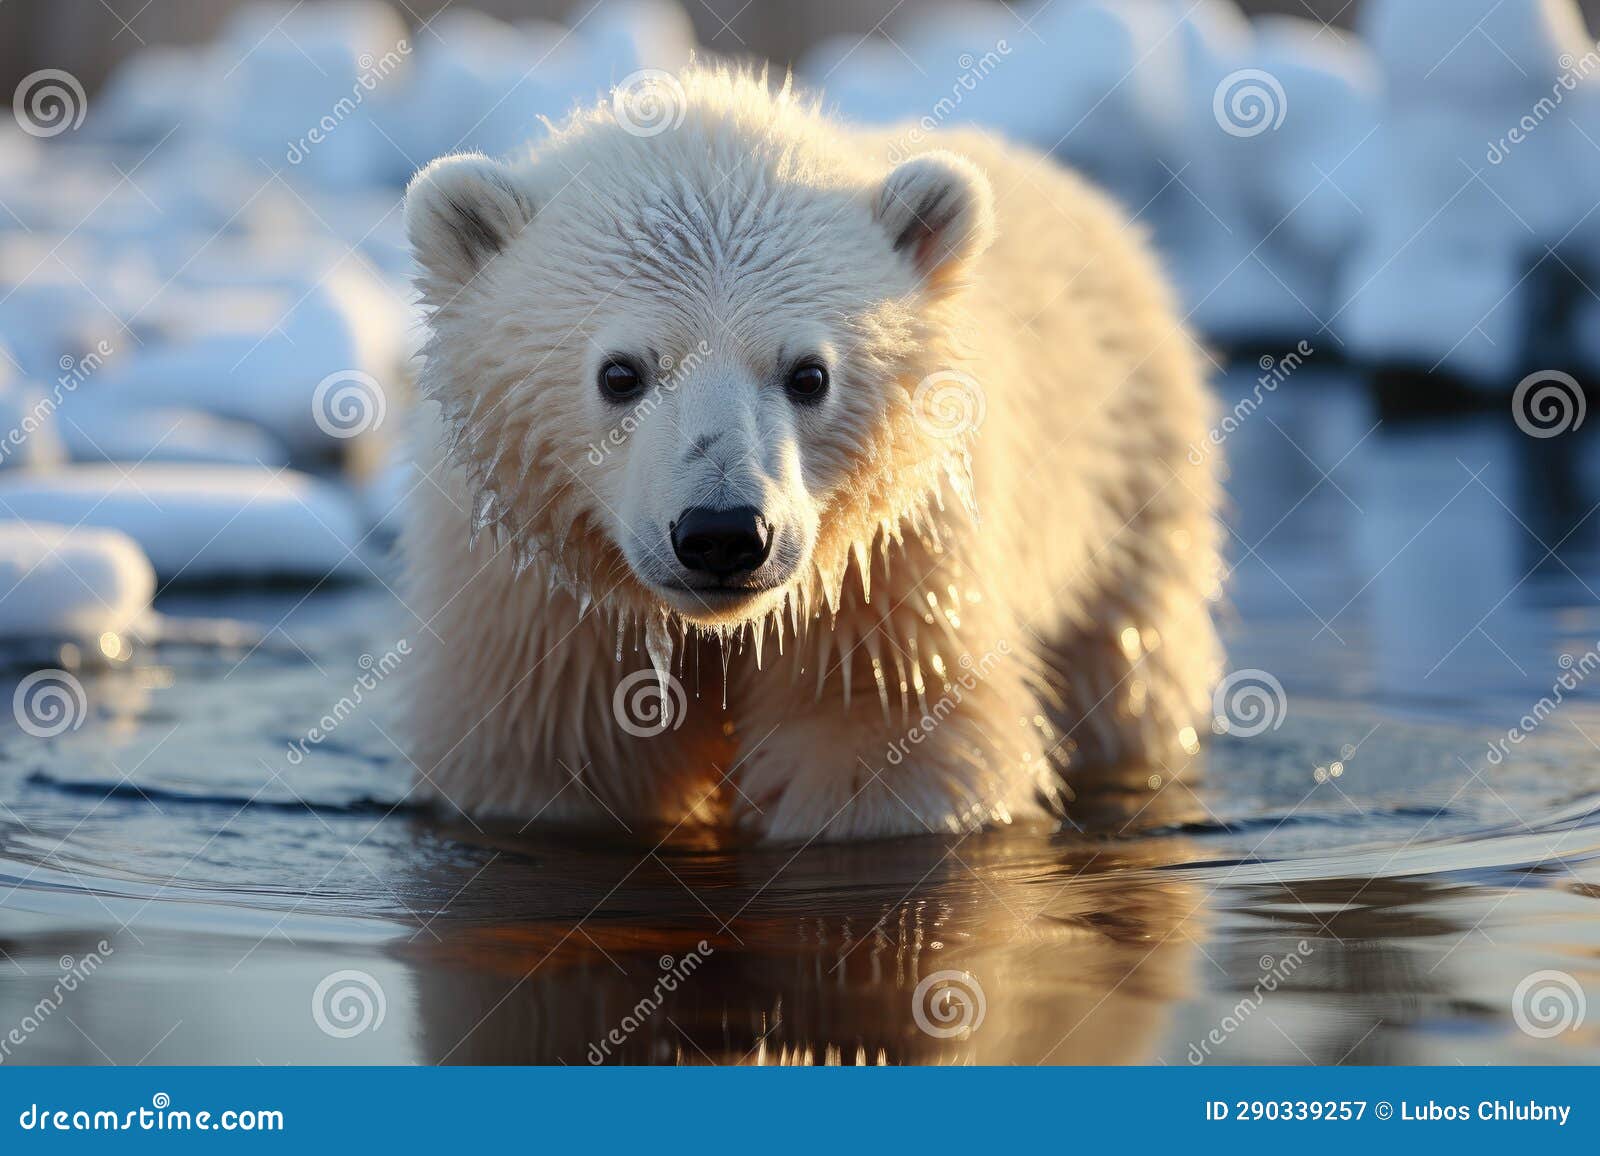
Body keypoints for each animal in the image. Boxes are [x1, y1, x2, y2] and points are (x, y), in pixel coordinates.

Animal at [397, 67, 1223, 843]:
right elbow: (552, 756)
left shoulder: (894, 566)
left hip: (1128, 480)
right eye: (620, 373)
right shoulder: (531, 602)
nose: (722, 533)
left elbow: (882, 743)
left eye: (809, 374)